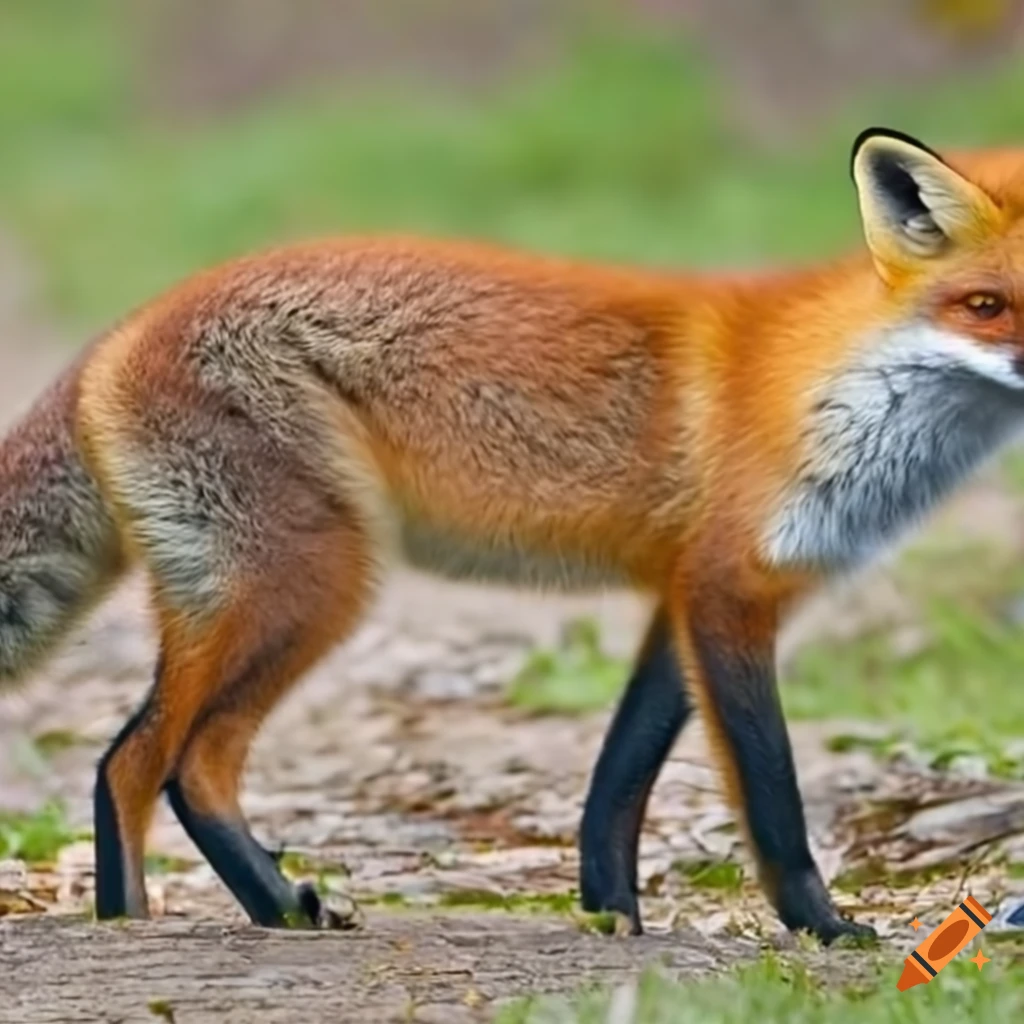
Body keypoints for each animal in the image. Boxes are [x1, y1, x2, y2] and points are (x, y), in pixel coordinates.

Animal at [3, 126, 1024, 944]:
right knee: (162, 764)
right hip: (311, 584)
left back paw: (223, 917)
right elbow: (773, 796)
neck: (832, 396)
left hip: (238, 597)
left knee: (140, 762)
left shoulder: (681, 601)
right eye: (986, 305)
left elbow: (616, 785)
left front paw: (613, 917)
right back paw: (169, 927)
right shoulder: (728, 592)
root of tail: (119, 335)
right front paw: (824, 929)